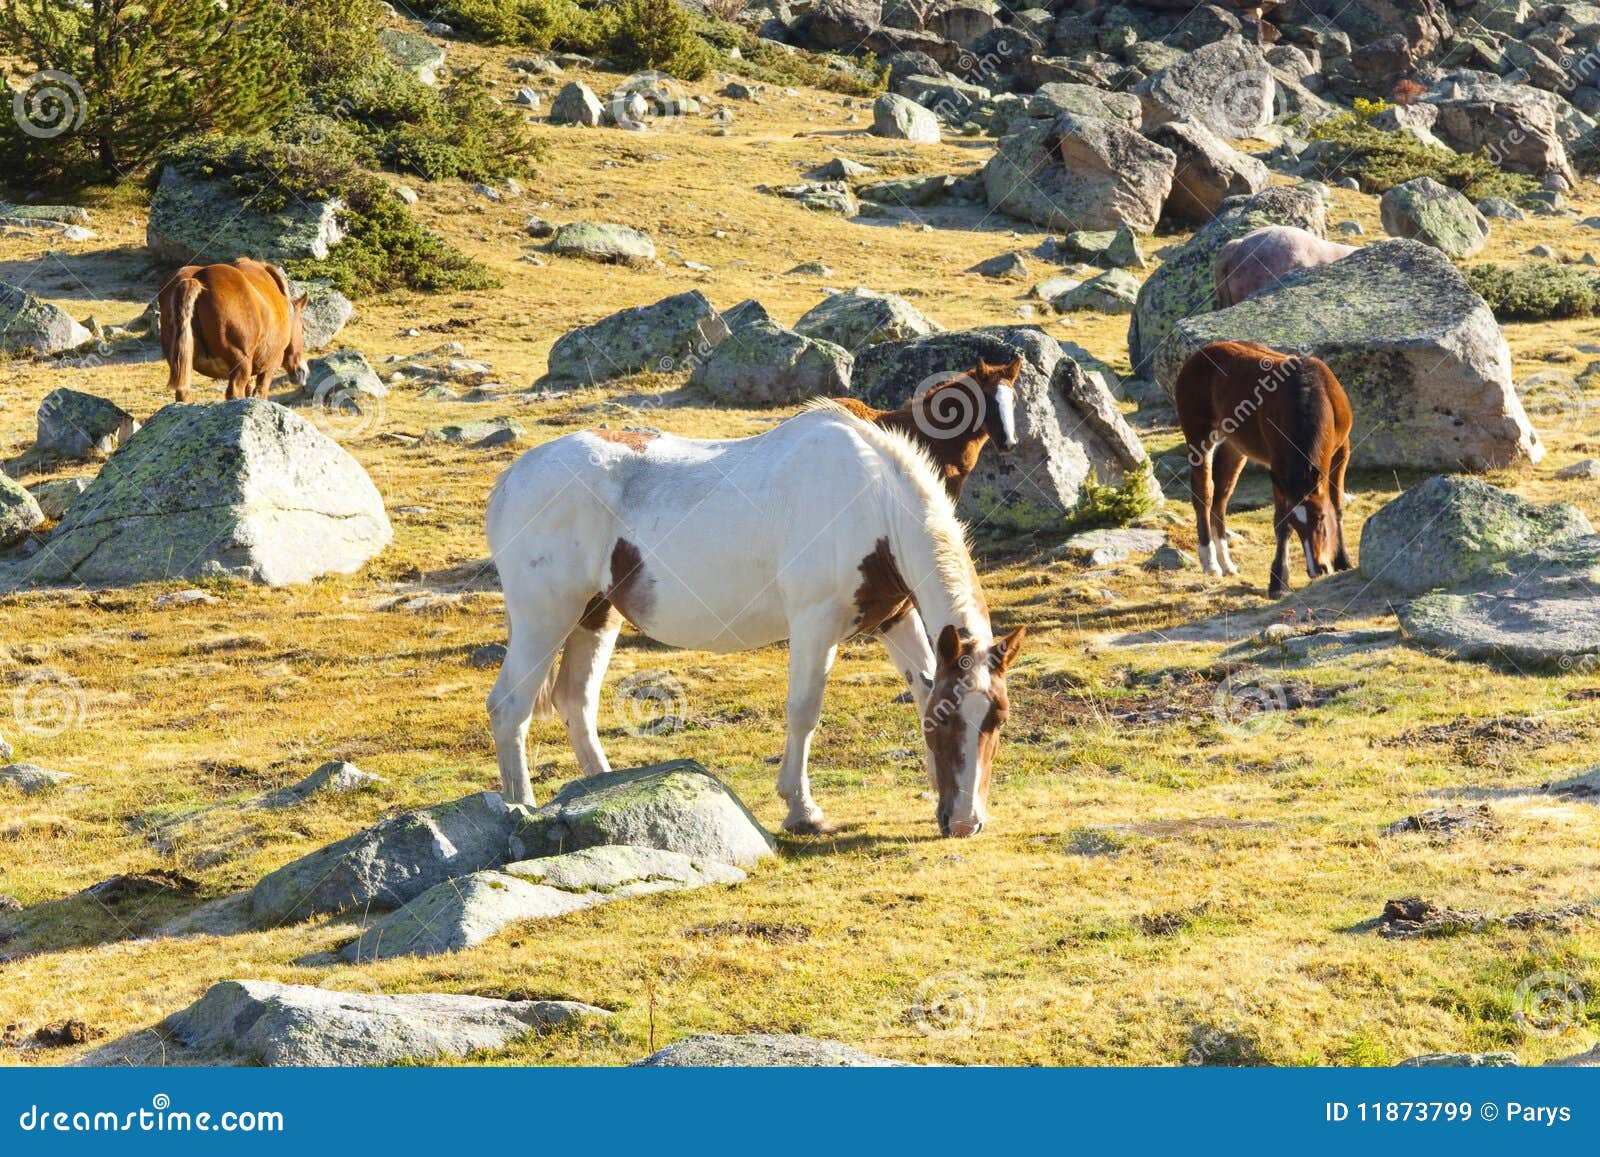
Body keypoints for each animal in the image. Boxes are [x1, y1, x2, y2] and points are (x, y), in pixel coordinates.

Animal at [158, 258, 310, 403]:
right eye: (303, 329)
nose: (303, 371)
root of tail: (196, 279)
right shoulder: (271, 365)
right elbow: (260, 393)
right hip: (241, 364)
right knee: (234, 392)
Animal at [485, 402, 1026, 838]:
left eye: (996, 718)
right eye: (952, 724)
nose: (965, 823)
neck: (873, 505)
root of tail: (513, 478)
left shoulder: (895, 619)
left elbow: (922, 693)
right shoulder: (815, 625)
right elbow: (804, 712)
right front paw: (802, 810)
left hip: (595, 614)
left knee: (576, 702)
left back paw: (601, 793)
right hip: (545, 618)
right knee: (510, 707)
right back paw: (520, 808)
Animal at [1173, 340, 1354, 598]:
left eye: (1320, 517)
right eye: (1297, 524)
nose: (1317, 568)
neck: (1313, 393)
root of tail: (1200, 354)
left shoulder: (1342, 451)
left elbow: (1337, 505)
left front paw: (1343, 561)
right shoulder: (1279, 466)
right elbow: (1281, 523)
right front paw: (1278, 581)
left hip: (1234, 446)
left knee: (1221, 497)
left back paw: (1227, 564)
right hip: (1199, 439)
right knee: (1204, 495)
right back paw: (1211, 564)